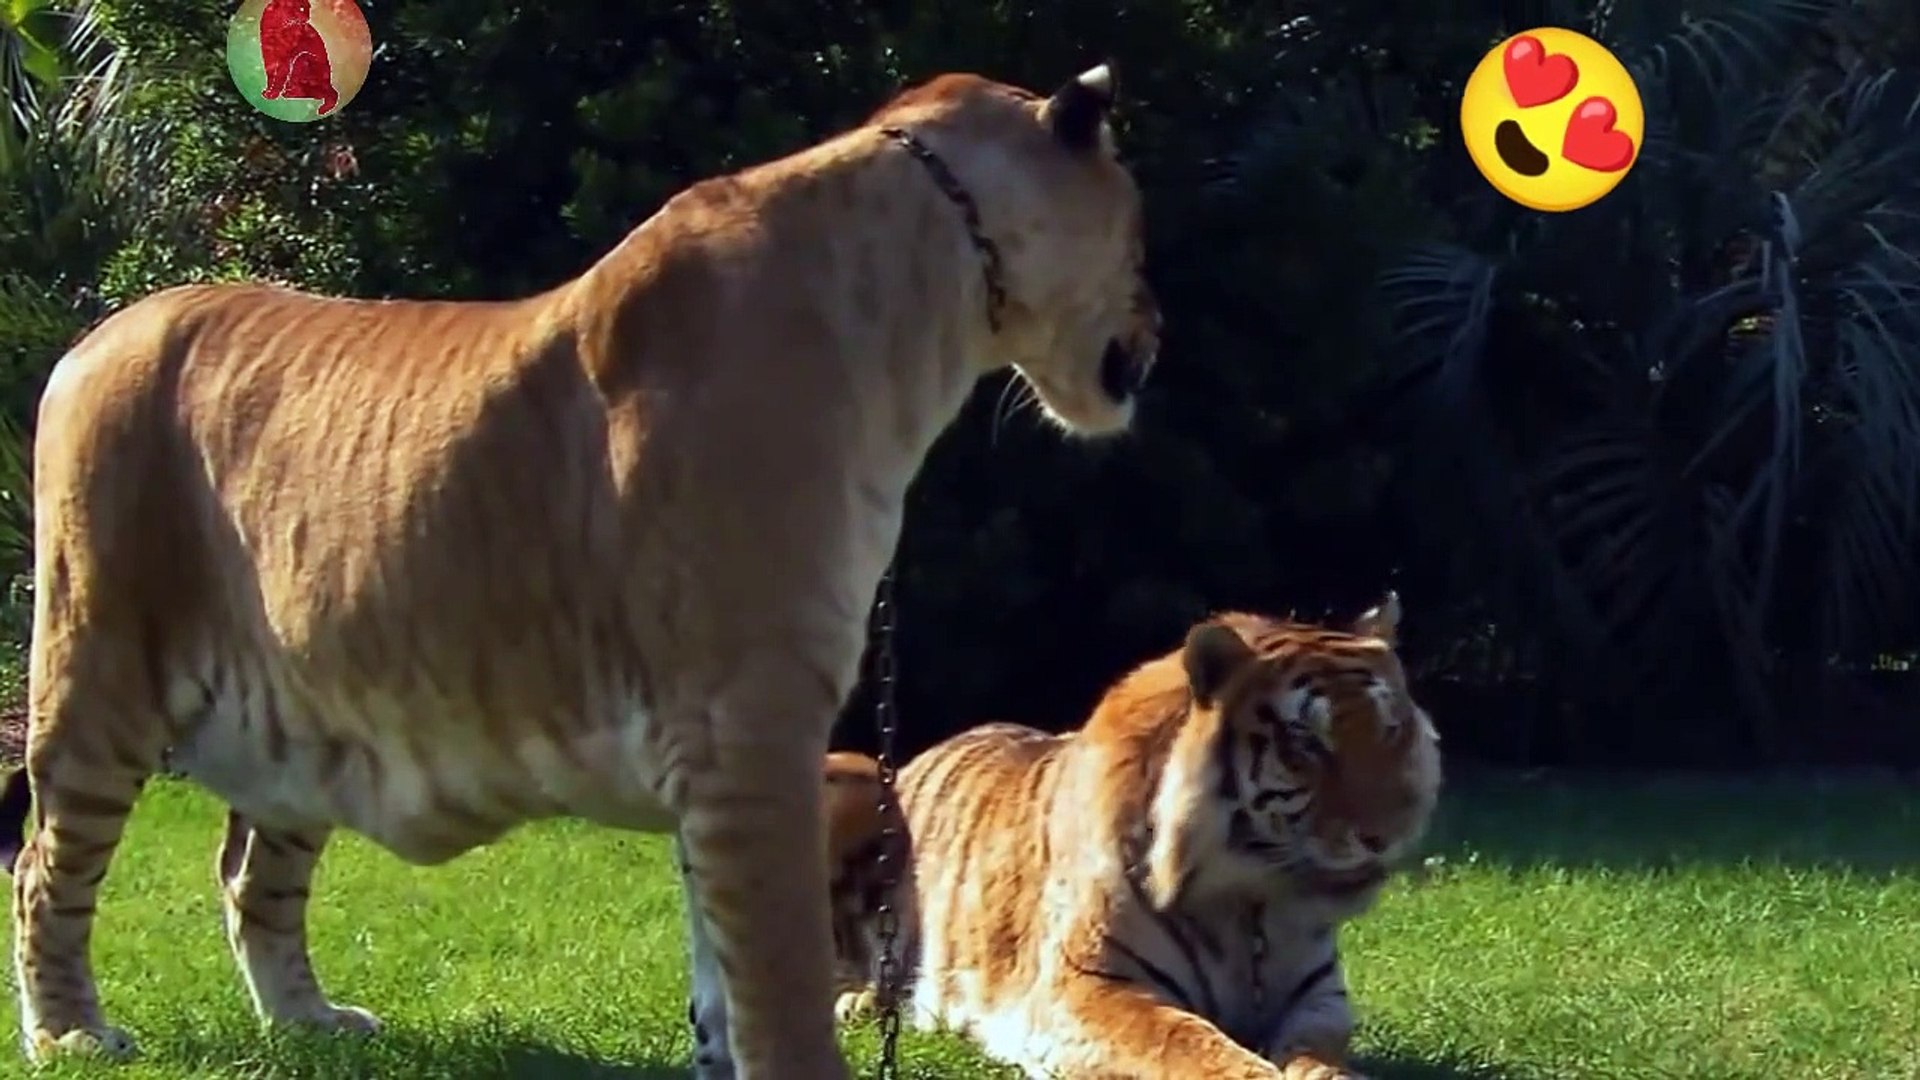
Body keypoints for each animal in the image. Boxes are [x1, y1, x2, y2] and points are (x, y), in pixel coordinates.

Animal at [0, 63, 1160, 1078]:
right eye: (1143, 235)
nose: (1156, 332)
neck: (919, 303)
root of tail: (97, 333)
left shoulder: (720, 753)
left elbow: (719, 970)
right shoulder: (754, 728)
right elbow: (778, 972)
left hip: (301, 719)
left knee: (252, 877)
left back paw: (309, 1022)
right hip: (95, 670)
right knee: (45, 871)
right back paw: (73, 1035)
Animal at [828, 596, 1441, 1079]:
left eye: (1390, 729)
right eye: (1306, 742)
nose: (1385, 836)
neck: (1251, 900)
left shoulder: (1319, 1002)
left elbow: (1320, 1059)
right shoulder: (1089, 988)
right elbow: (1192, 1045)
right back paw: (858, 1001)